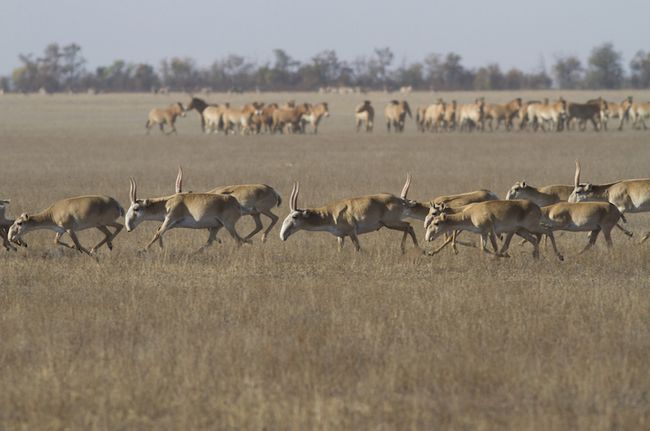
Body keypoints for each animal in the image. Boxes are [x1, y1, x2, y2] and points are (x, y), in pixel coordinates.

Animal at [279, 176, 418, 253]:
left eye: (295, 216)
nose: (282, 235)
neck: (331, 213)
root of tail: (401, 200)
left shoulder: (352, 233)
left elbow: (359, 249)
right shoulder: (341, 236)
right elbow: (340, 250)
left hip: (390, 223)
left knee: (408, 226)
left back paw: (405, 249)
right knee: (409, 227)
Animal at [424, 200, 563, 260]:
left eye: (436, 223)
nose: (428, 238)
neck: (469, 214)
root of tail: (537, 208)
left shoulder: (490, 231)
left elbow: (495, 247)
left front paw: (500, 257)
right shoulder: (483, 233)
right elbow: (483, 248)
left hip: (531, 226)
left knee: (548, 231)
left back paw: (559, 255)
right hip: (521, 230)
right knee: (534, 239)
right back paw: (536, 258)